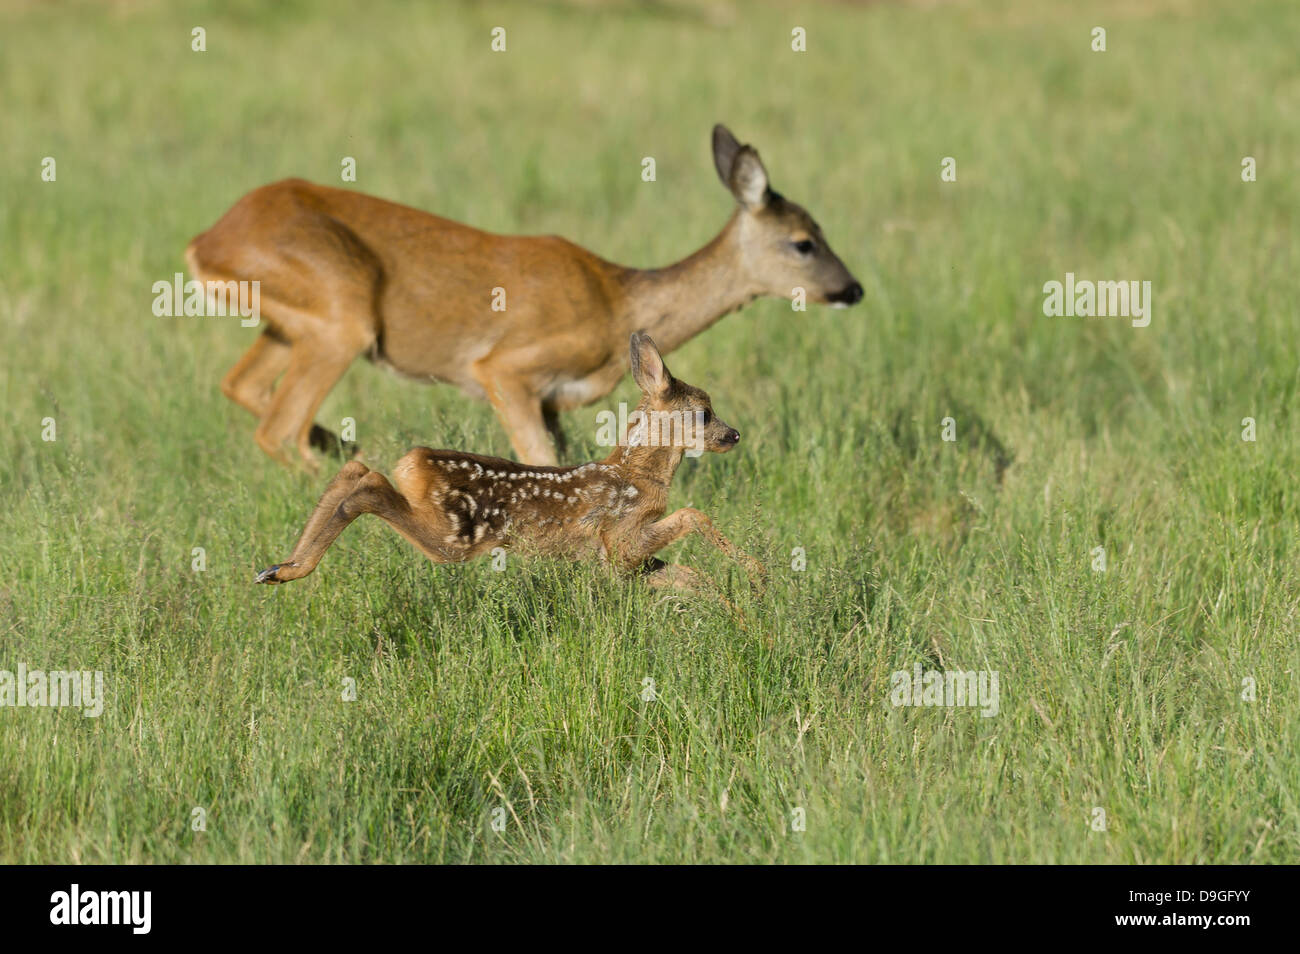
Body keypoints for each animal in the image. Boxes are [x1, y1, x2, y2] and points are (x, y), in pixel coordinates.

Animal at [186, 124, 863, 470]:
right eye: (804, 241)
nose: (853, 289)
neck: (617, 303)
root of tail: (206, 240)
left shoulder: (554, 402)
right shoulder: (504, 367)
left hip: (292, 324)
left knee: (242, 387)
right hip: (343, 317)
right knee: (280, 428)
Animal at [254, 333, 765, 596]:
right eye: (704, 412)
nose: (735, 435)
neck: (637, 475)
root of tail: (413, 461)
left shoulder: (621, 561)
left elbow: (690, 576)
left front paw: (738, 613)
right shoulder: (620, 538)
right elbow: (694, 515)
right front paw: (758, 573)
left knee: (356, 471)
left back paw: (278, 568)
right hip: (454, 537)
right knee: (368, 484)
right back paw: (290, 568)